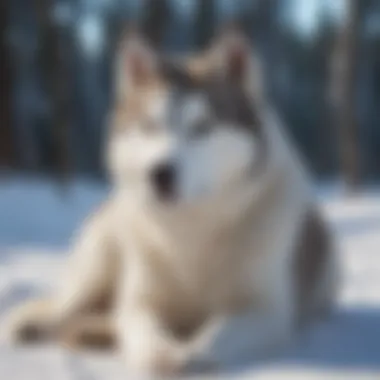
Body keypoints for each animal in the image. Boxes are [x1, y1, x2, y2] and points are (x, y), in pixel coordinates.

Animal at [2, 28, 336, 376]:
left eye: (201, 127)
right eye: (150, 125)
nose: (159, 173)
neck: (190, 233)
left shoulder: (266, 309)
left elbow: (218, 334)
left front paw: (196, 354)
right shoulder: (141, 302)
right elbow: (142, 331)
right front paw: (161, 354)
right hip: (98, 264)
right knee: (69, 306)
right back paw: (33, 324)